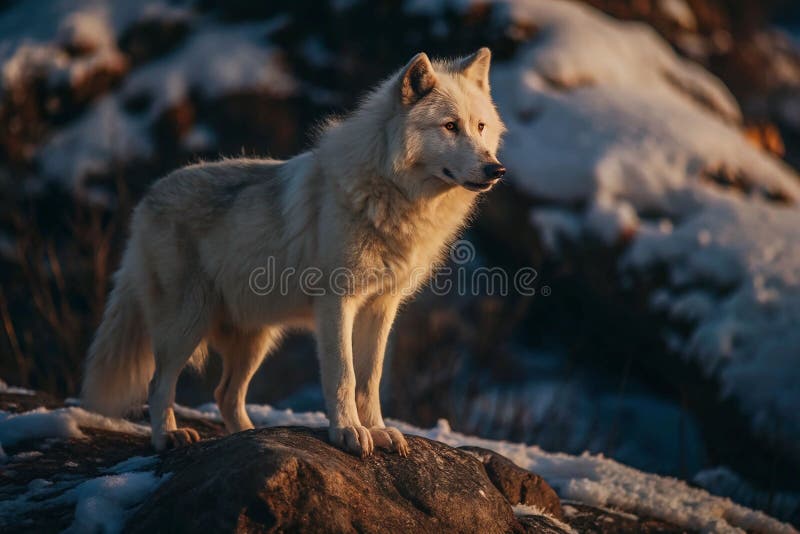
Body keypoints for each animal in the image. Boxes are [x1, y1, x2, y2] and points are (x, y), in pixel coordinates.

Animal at [81, 48, 506, 456]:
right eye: (450, 126)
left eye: (480, 127)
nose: (496, 170)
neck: (391, 194)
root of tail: (146, 200)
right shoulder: (337, 303)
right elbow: (343, 375)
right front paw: (349, 433)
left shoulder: (381, 307)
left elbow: (369, 380)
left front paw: (379, 431)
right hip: (188, 322)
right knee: (158, 384)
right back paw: (168, 437)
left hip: (256, 338)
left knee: (225, 394)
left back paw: (250, 437)